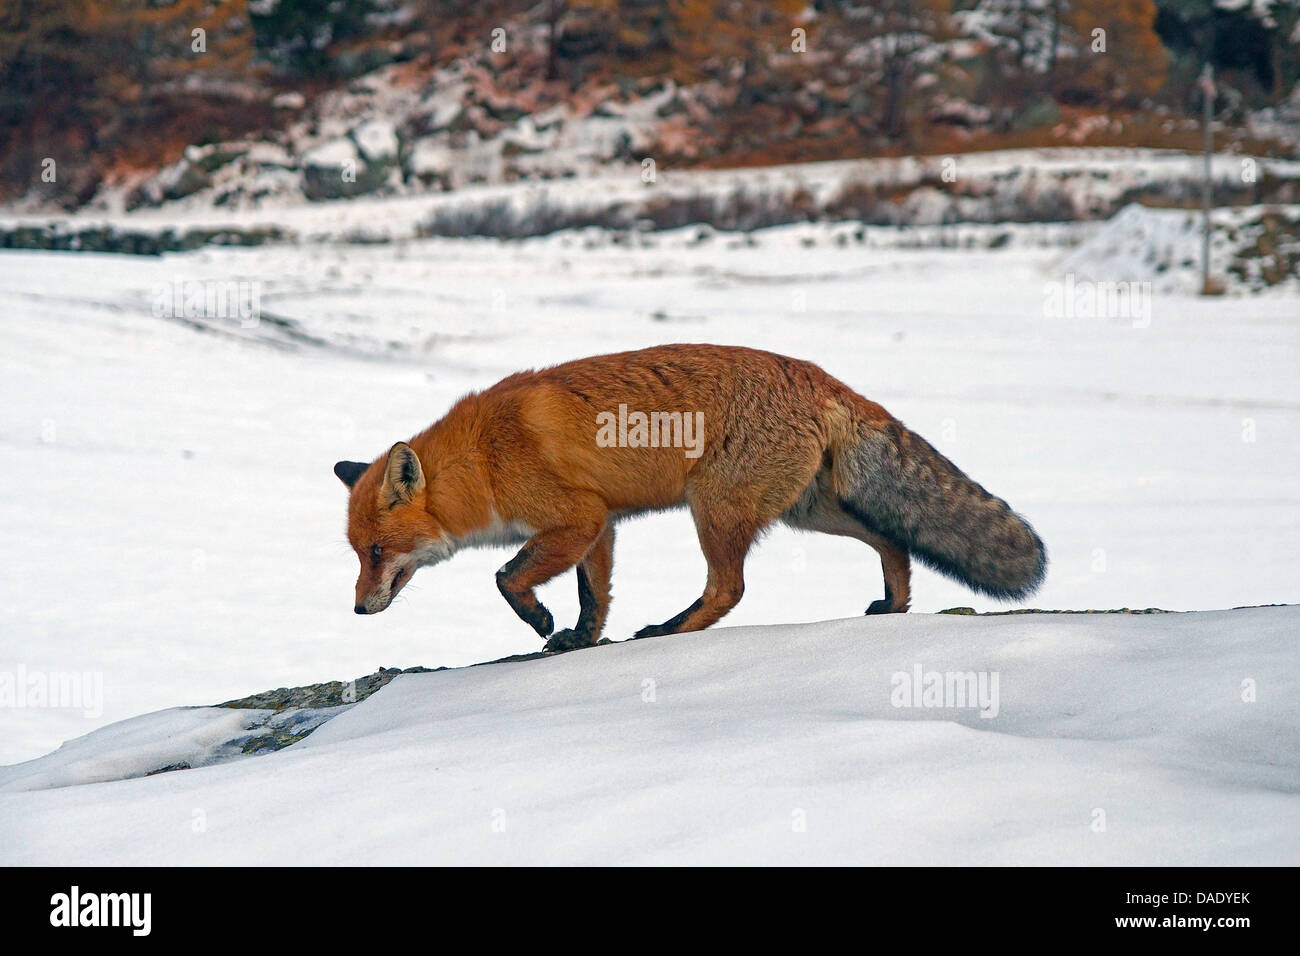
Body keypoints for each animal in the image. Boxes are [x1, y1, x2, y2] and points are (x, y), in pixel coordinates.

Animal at [334, 344, 1046, 651]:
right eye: (358, 554)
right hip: (808, 511)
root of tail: (818, 373)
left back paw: (669, 630)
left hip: (716, 509)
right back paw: (895, 604)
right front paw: (577, 640)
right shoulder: (601, 524)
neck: (484, 459)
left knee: (729, 590)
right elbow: (593, 596)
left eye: (378, 551)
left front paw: (539, 621)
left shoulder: (577, 518)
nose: (358, 609)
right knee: (891, 536)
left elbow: (507, 577)